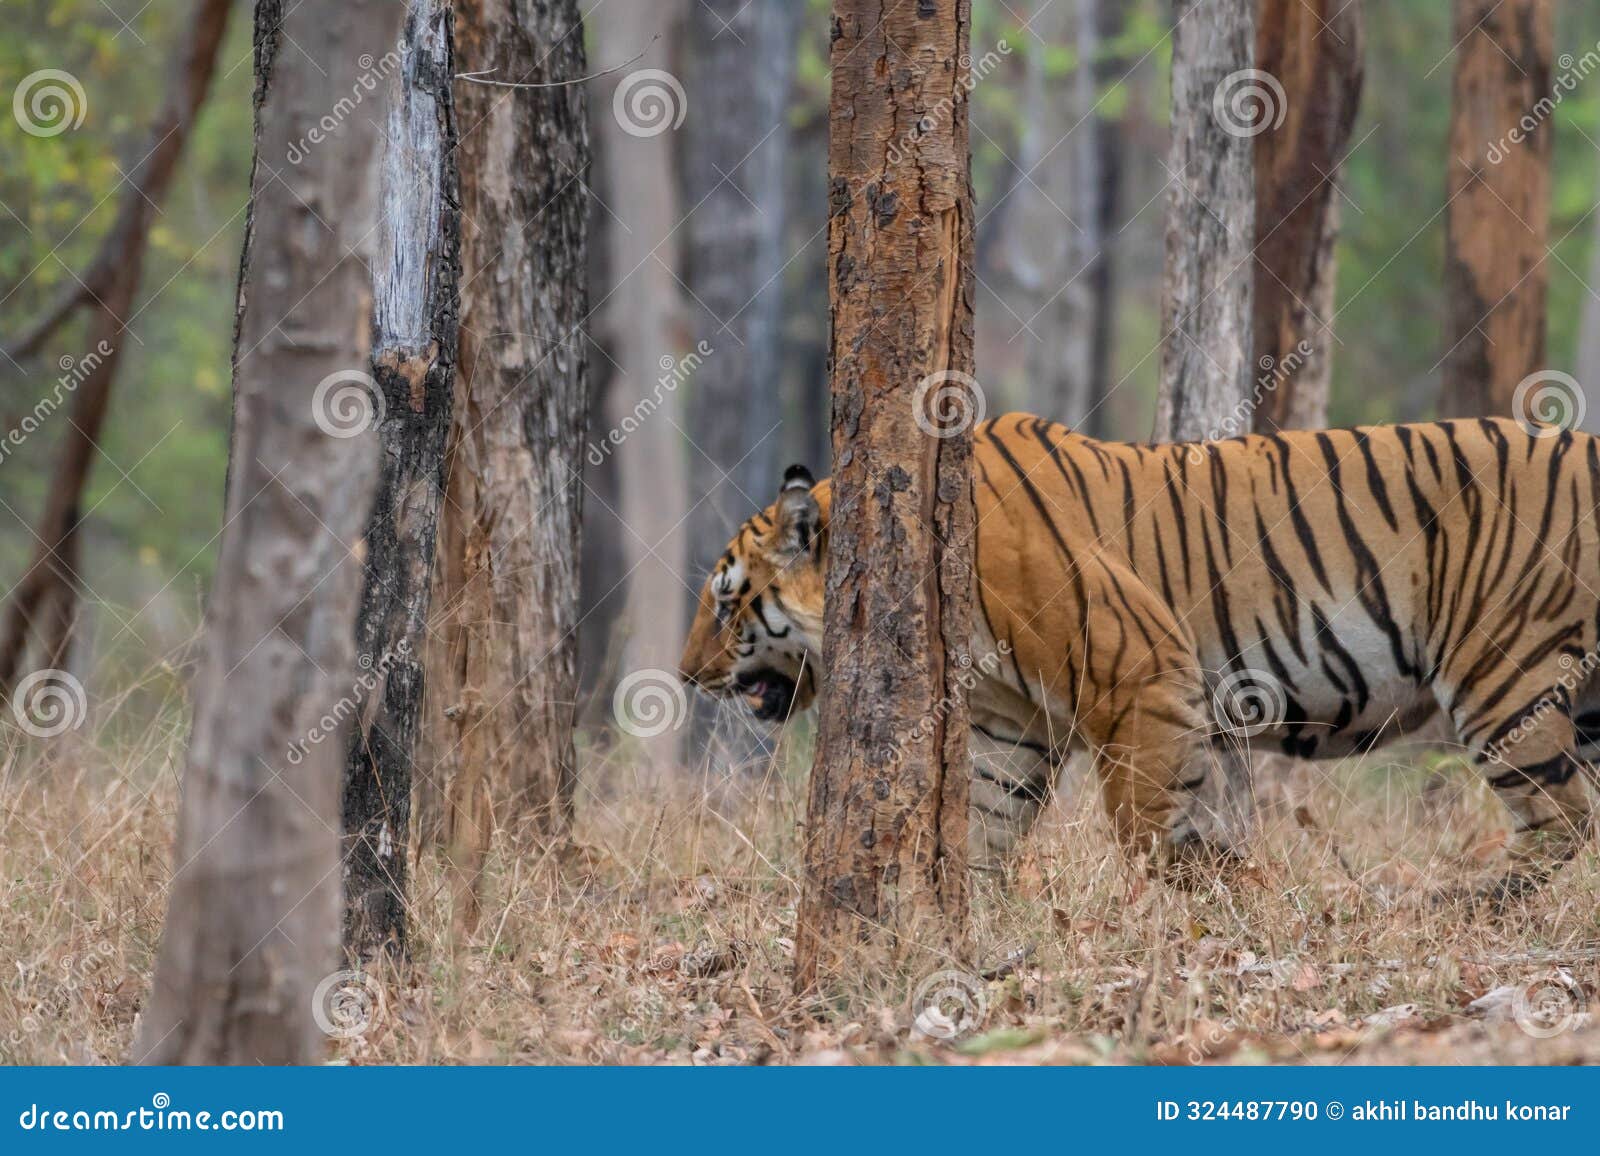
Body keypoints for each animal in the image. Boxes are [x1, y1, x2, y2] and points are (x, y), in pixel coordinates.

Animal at [678, 412, 1600, 904]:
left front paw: (1201, 893)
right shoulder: (1011, 726)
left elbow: (1143, 823)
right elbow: (985, 821)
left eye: (727, 601)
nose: (686, 676)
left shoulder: (1142, 671)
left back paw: (1472, 907)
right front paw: (964, 924)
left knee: (1563, 821)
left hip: (1502, 676)